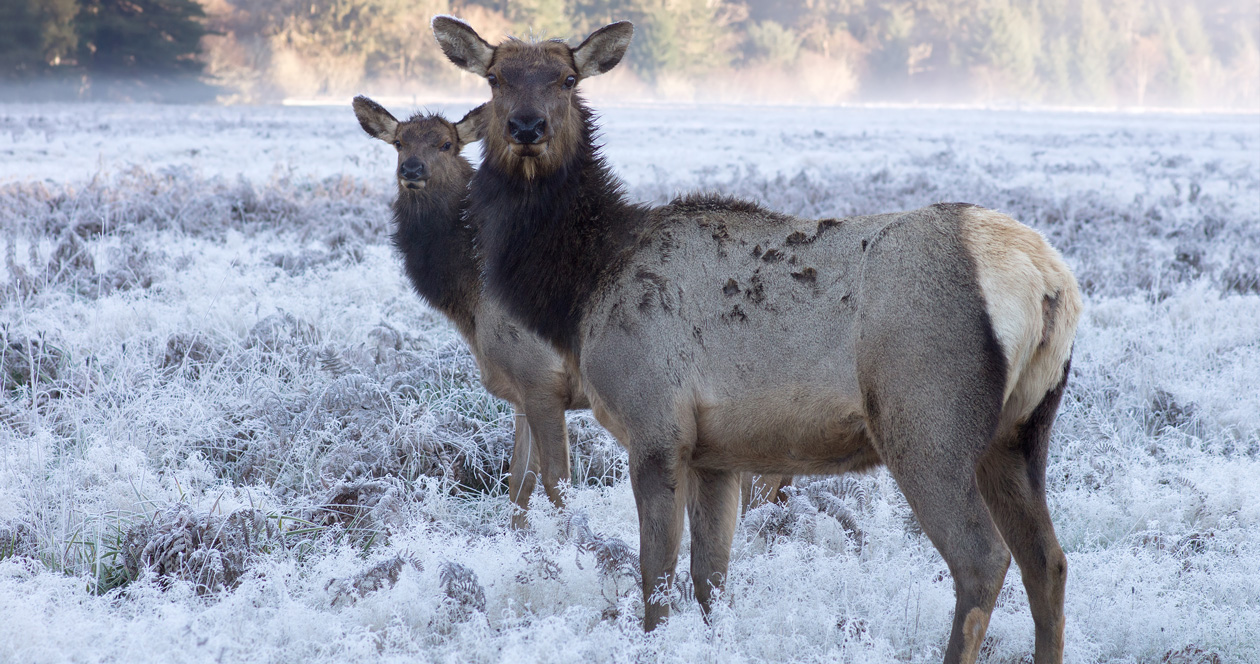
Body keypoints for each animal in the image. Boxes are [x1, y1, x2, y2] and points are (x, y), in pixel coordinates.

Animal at [431, 17, 1081, 664]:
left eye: (567, 79)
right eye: (495, 78)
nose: (527, 128)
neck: (582, 288)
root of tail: (1050, 281)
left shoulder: (655, 422)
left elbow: (656, 577)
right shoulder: (717, 452)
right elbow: (711, 579)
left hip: (925, 417)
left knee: (983, 558)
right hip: (1020, 431)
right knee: (1048, 560)